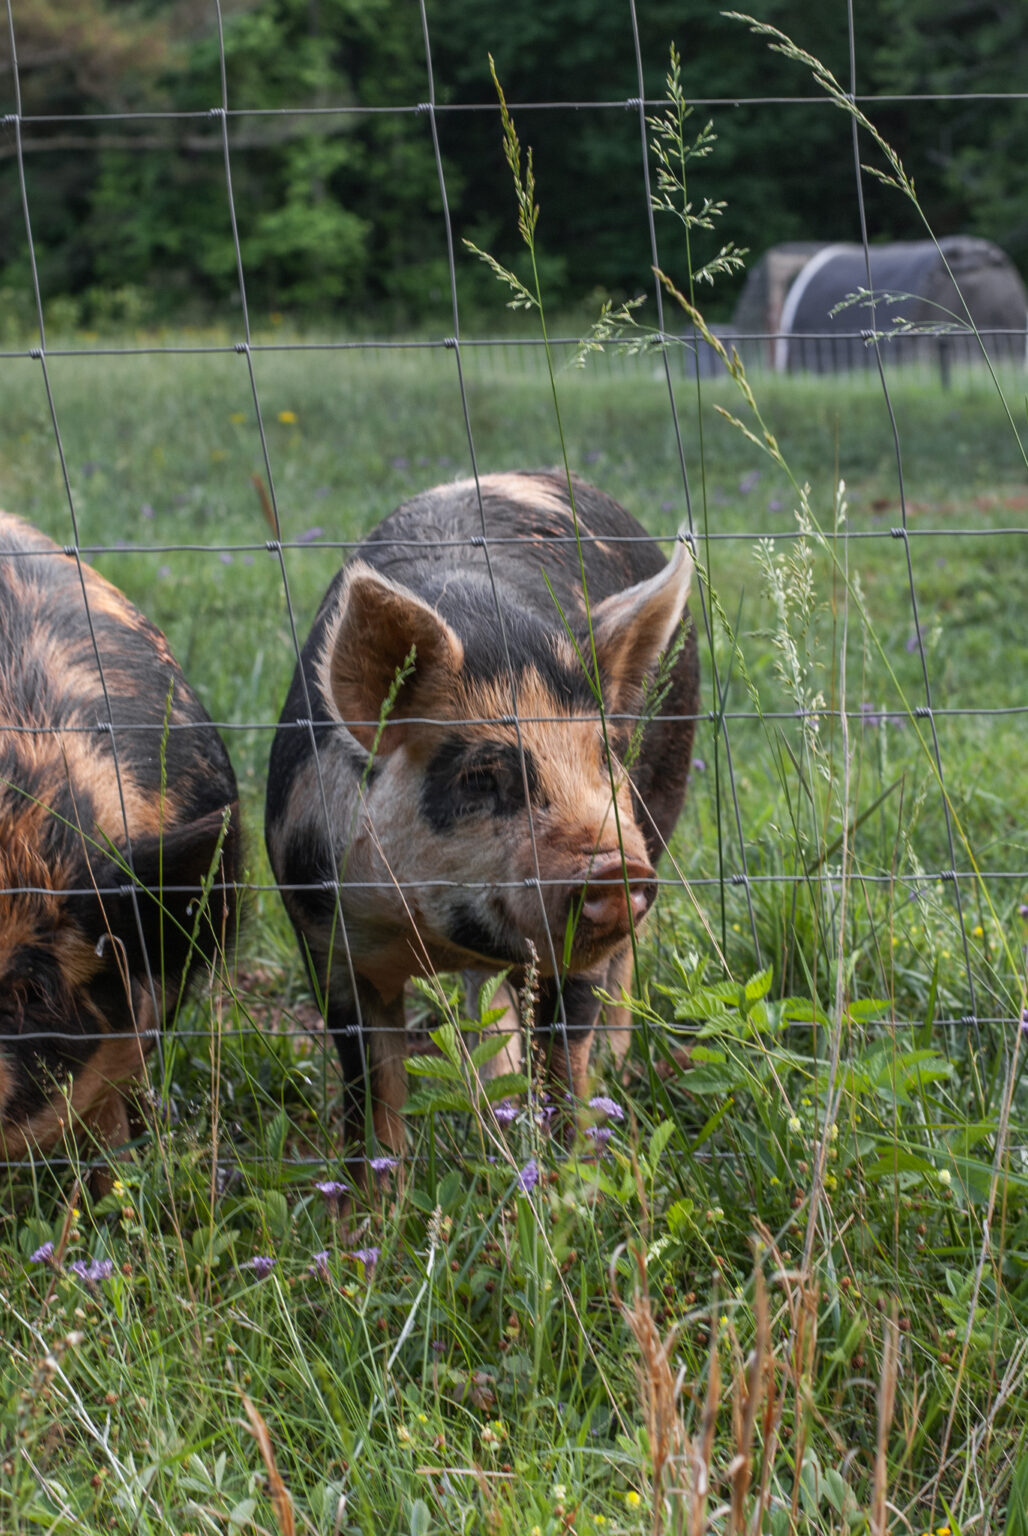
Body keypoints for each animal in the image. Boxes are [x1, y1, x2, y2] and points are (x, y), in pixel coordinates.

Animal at [265, 471, 698, 1157]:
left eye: (603, 754)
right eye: (480, 776)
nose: (612, 870)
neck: (431, 930)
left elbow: (567, 1066)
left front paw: (572, 1170)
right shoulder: (323, 939)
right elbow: (373, 1097)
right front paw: (375, 1188)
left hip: (657, 814)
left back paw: (615, 1068)